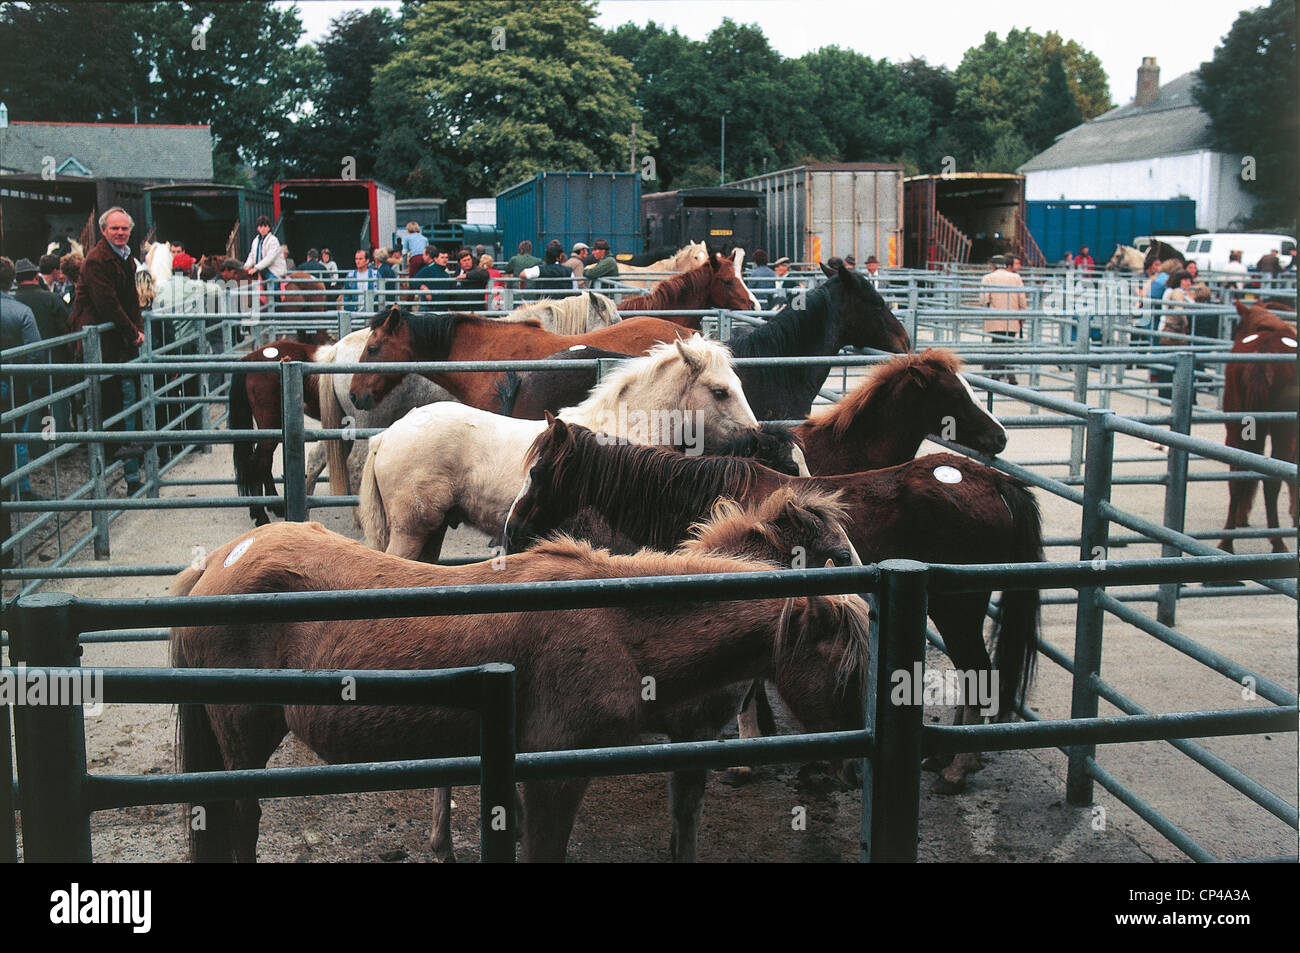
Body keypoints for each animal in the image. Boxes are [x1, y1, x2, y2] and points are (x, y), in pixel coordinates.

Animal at [169, 520, 872, 862]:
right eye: (846, 673)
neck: (616, 625)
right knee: (240, 826)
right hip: (243, 743)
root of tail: (221, 560)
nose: (858, 772)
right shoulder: (554, 778)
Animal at [228, 339, 327, 526]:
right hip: (270, 424)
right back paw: (260, 515)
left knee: (265, 462)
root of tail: (251, 357)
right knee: (259, 462)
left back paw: (274, 506)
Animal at [505, 418, 1044, 793]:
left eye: (538, 472)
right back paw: (947, 756)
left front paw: (745, 758)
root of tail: (996, 482)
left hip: (958, 610)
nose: (510, 532)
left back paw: (957, 768)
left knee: (978, 670)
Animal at [1216, 301, 1298, 555]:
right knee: (1272, 480)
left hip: (1236, 428)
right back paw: (1278, 543)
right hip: (1283, 431)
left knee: (1237, 475)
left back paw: (1227, 541)